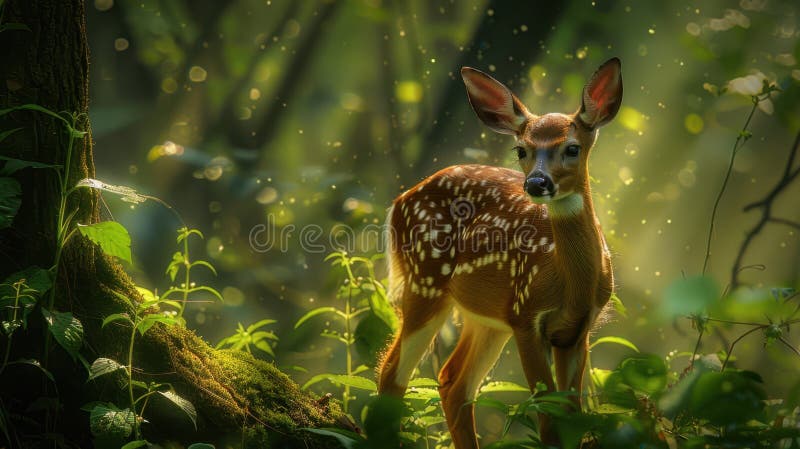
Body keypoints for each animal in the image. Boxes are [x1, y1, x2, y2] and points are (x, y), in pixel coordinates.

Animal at [377, 58, 622, 448]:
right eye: (521, 150)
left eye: (572, 148)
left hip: (486, 317)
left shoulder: (578, 330)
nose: (536, 183)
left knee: (453, 382)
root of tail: (399, 201)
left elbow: (571, 417)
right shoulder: (526, 315)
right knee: (393, 373)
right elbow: (548, 420)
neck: (569, 283)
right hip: (426, 279)